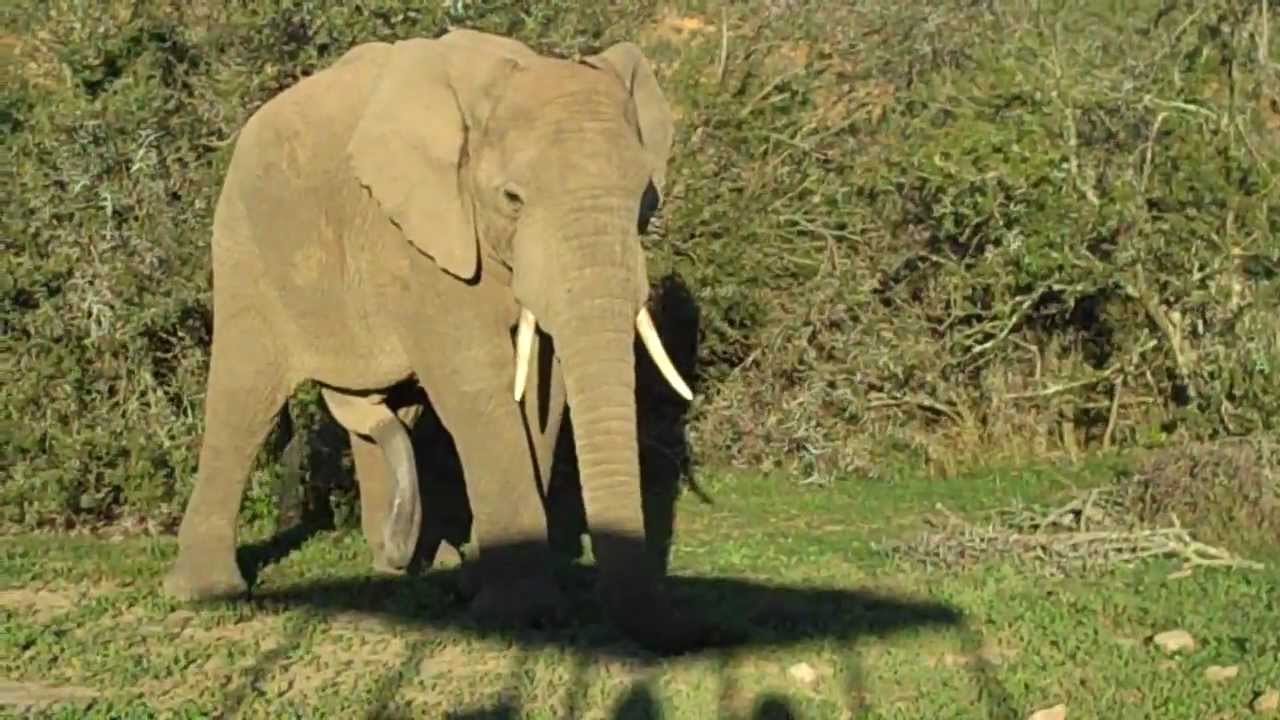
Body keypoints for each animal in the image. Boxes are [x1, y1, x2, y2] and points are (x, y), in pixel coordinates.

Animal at [161, 28, 703, 653]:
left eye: (645, 200)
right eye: (512, 199)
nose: (688, 629)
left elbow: (545, 395)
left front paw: (482, 580)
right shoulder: (419, 241)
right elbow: (475, 382)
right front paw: (521, 613)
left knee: (390, 412)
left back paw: (406, 564)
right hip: (246, 244)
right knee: (244, 399)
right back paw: (208, 593)